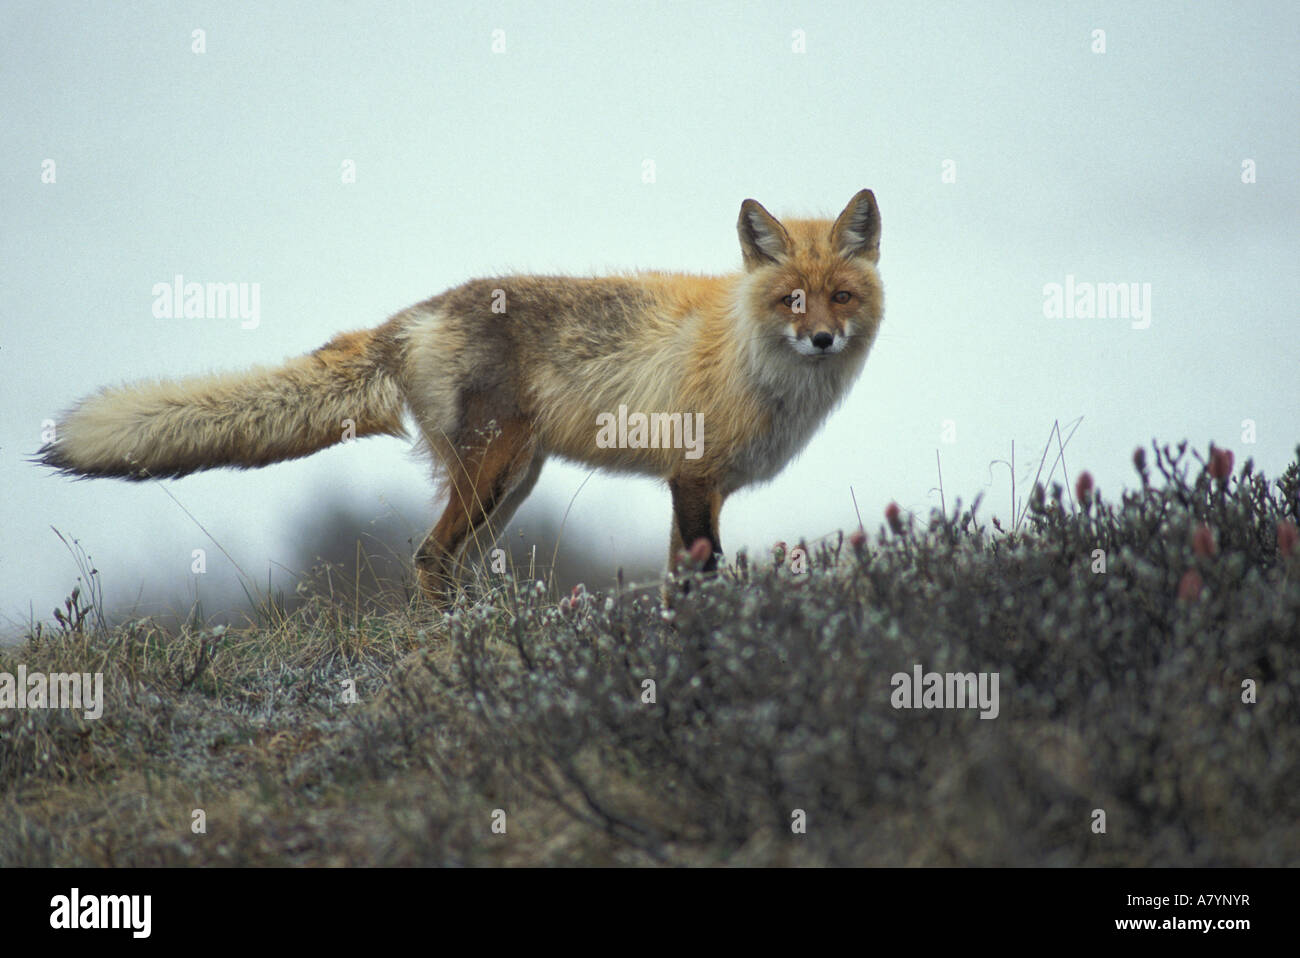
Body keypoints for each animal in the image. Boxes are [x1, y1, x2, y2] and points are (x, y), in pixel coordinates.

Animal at [37, 190, 884, 607]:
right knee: (430, 558)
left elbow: (681, 581)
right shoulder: (694, 477)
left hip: (512, 484)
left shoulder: (695, 488)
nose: (822, 340)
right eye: (790, 300)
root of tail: (409, 317)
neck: (750, 359)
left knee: (450, 563)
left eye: (840, 297)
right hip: (494, 469)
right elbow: (701, 579)